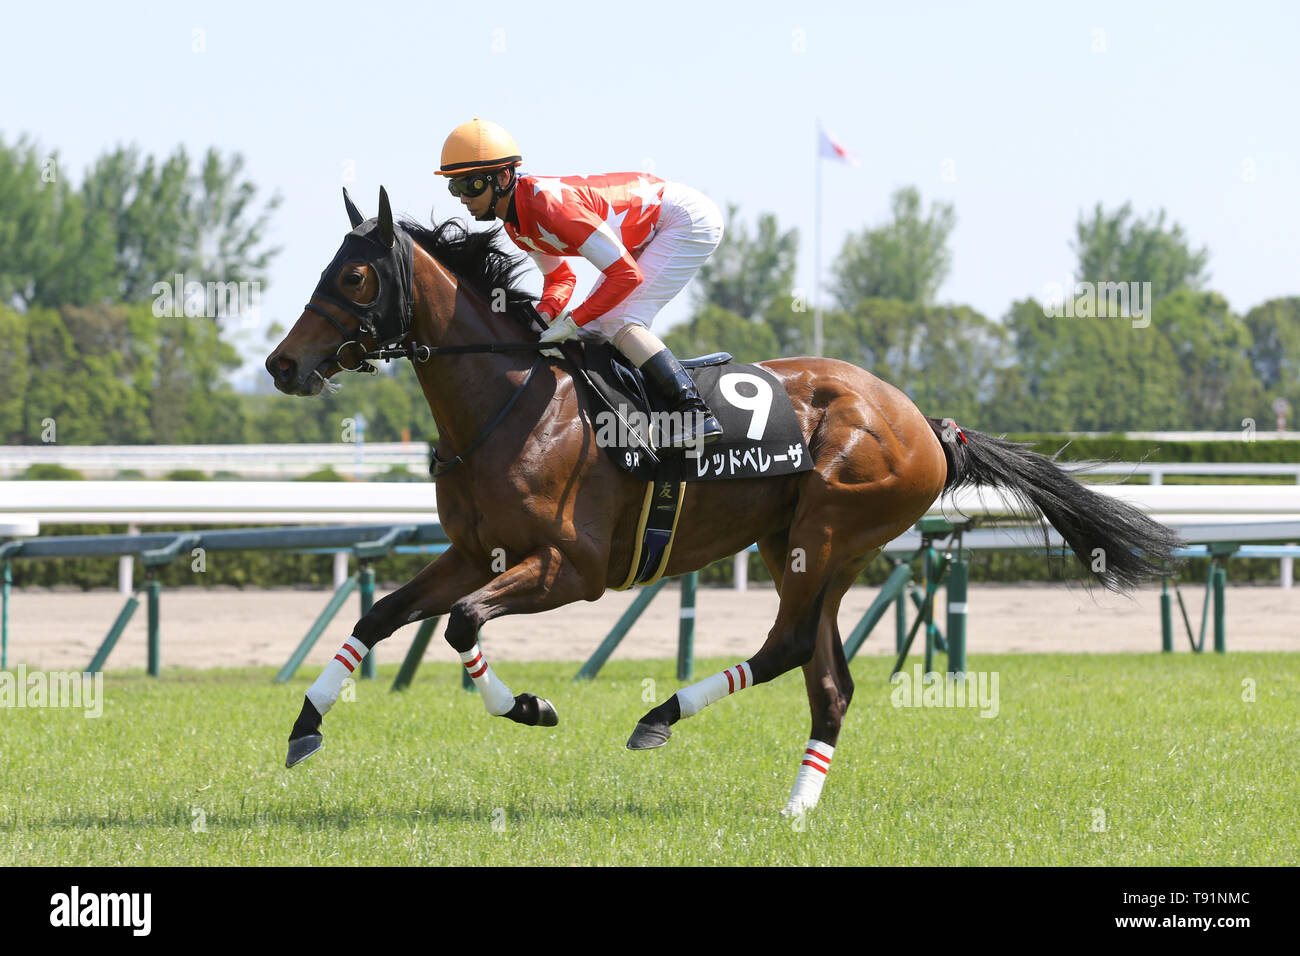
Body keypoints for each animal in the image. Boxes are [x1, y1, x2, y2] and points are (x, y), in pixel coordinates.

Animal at [265, 187, 1181, 815]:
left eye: (354, 273)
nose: (281, 364)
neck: (512, 404)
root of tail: (925, 421)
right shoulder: (471, 553)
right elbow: (383, 614)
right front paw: (305, 725)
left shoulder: (572, 570)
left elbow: (460, 625)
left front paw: (529, 706)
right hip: (802, 544)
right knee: (825, 676)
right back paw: (796, 804)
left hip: (830, 530)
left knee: (789, 650)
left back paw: (663, 715)